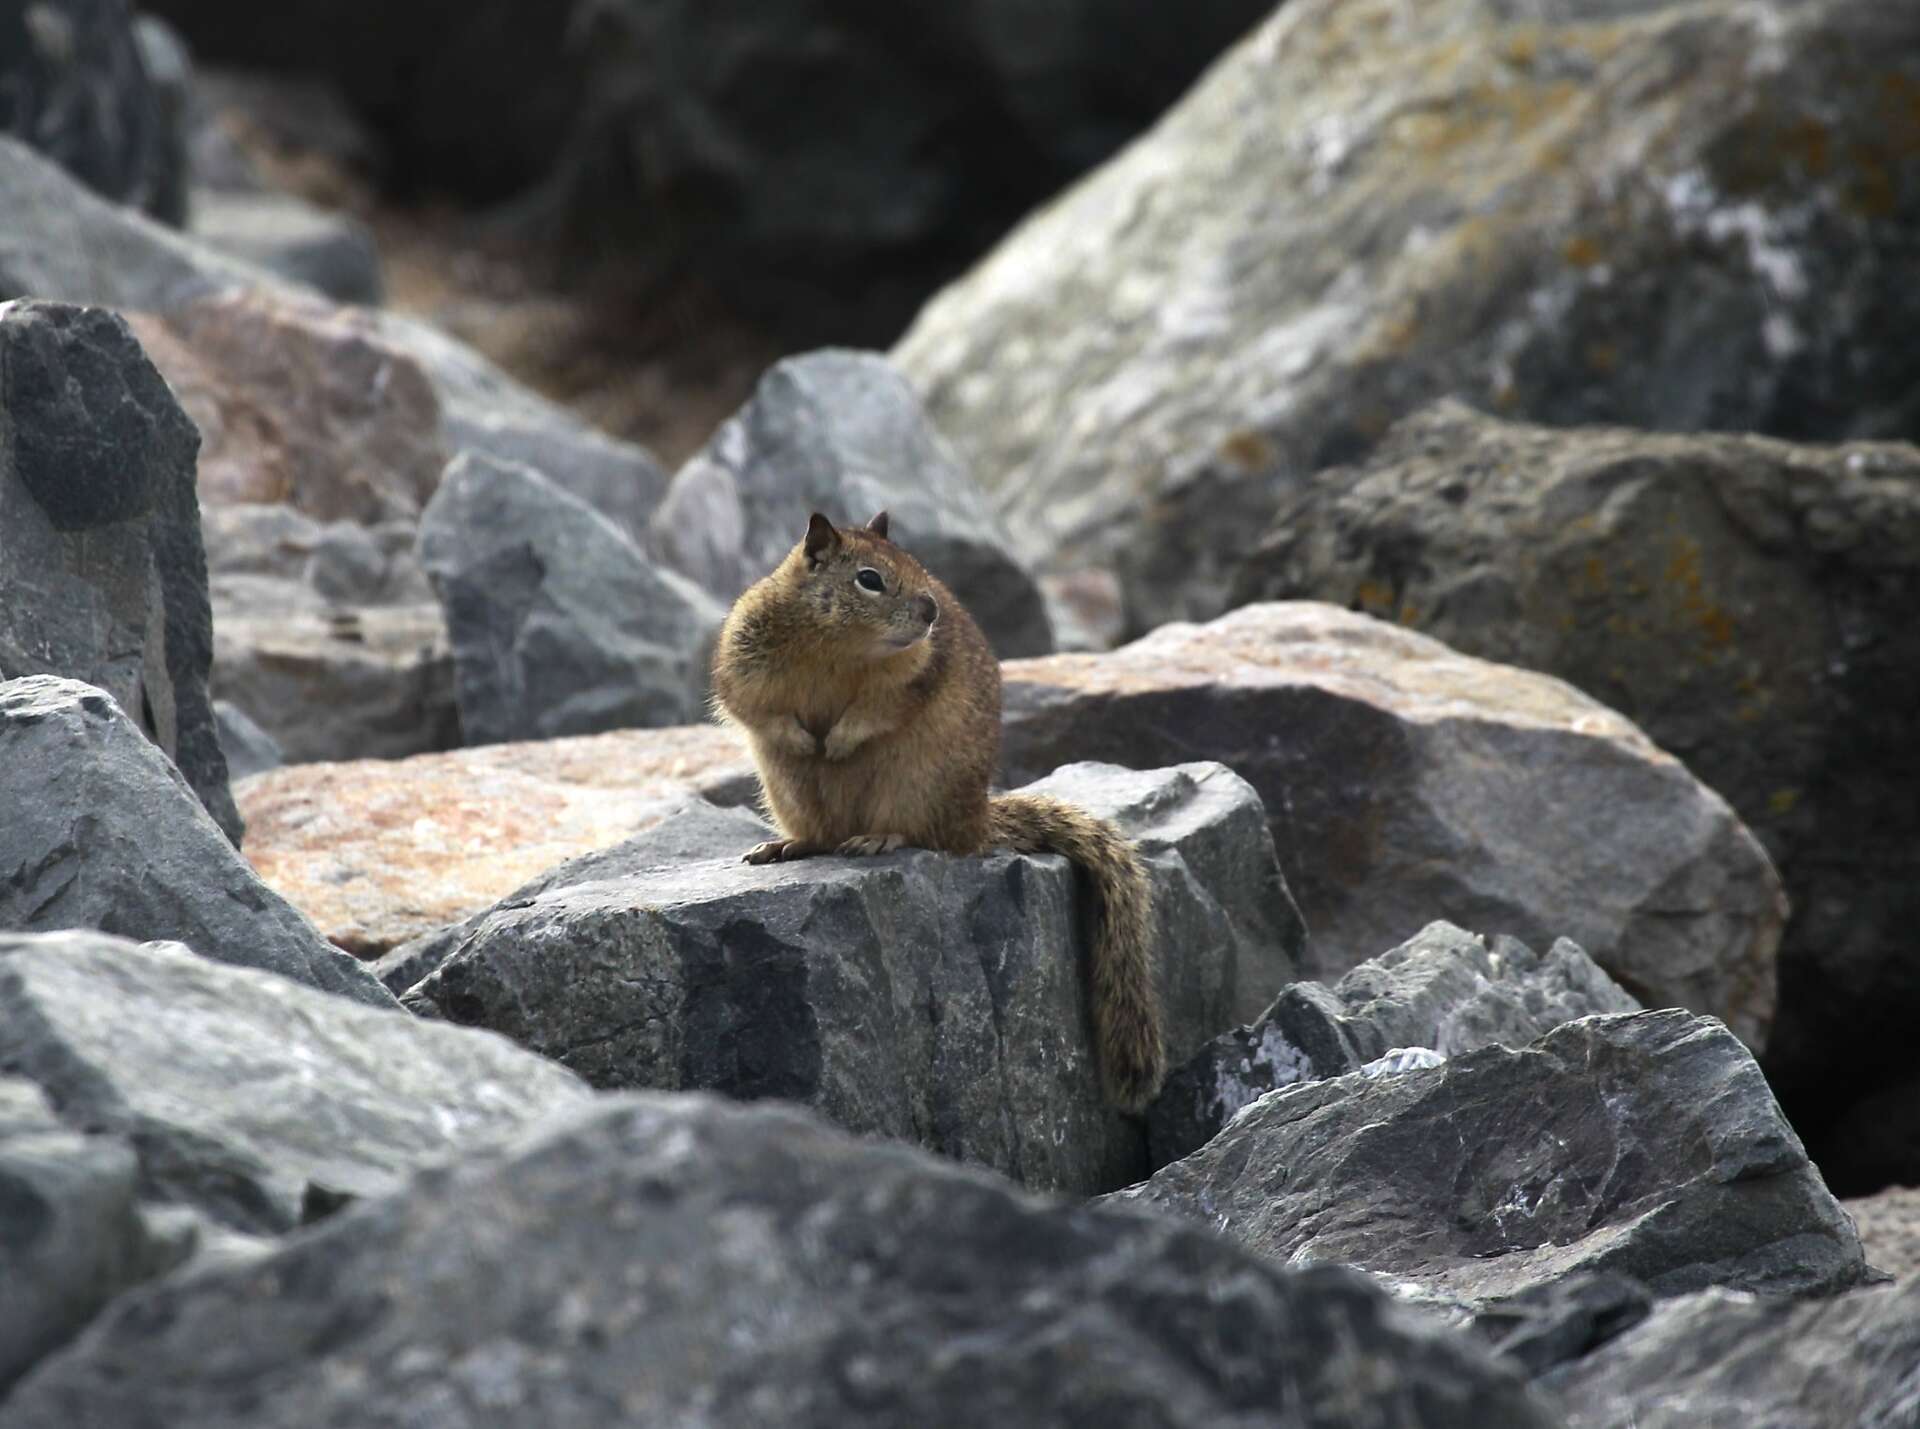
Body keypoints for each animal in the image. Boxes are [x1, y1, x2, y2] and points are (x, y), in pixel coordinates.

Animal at [709, 510, 1166, 1112]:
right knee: (822, 834)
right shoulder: (745, 658)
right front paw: (805, 740)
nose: (931, 611)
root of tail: (976, 820)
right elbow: (752, 706)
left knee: (919, 834)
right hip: (788, 789)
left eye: (920, 566)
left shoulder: (914, 676)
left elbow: (879, 710)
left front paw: (840, 740)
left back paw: (878, 838)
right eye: (870, 579)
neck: (839, 647)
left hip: (917, 785)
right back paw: (787, 844)